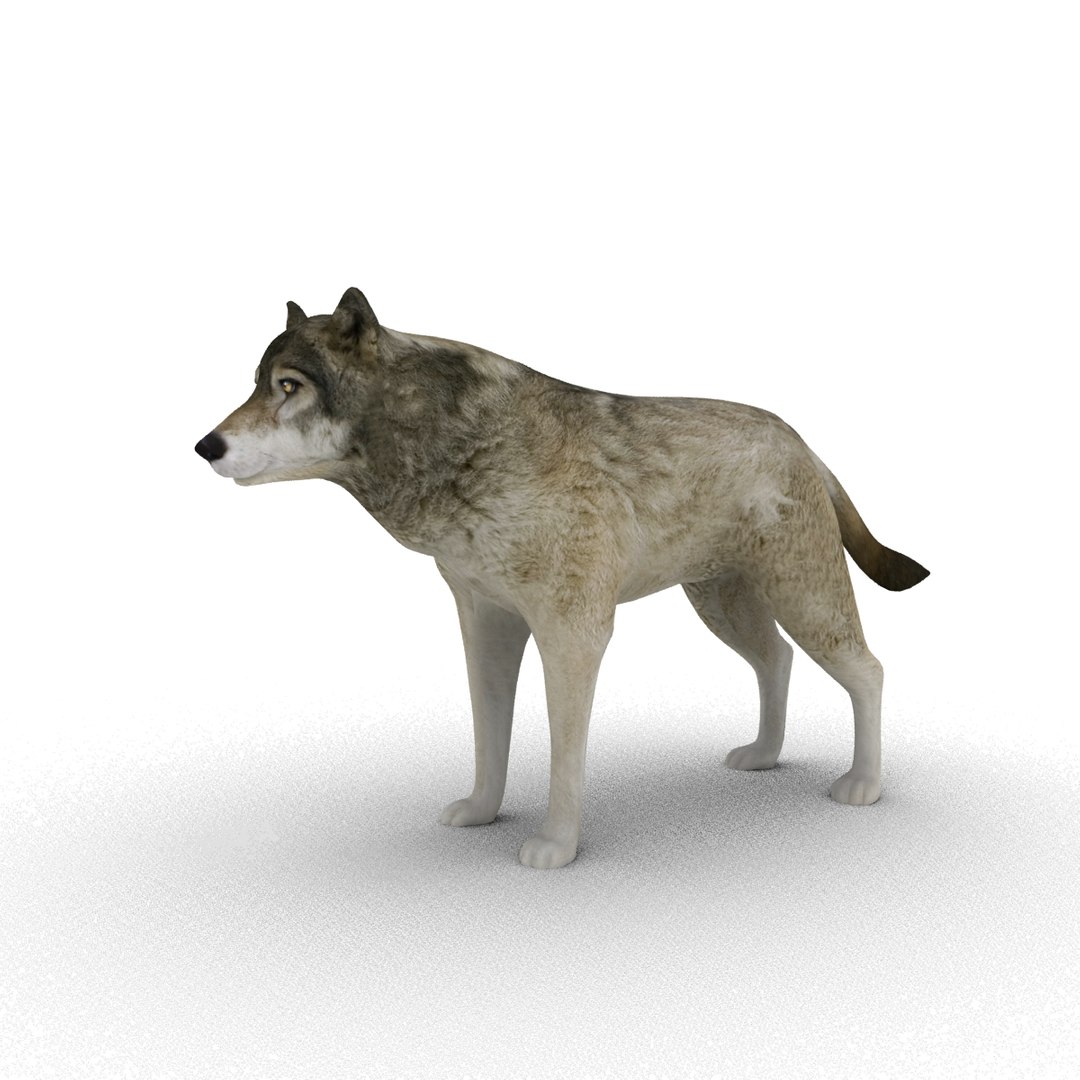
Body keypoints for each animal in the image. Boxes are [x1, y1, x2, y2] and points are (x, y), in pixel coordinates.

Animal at [195, 289, 928, 869]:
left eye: (290, 385)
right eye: (257, 383)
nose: (205, 446)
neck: (457, 446)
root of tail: (799, 438)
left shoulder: (573, 634)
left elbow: (562, 756)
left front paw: (556, 847)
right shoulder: (486, 625)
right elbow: (489, 737)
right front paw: (482, 811)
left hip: (803, 598)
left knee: (868, 670)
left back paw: (863, 784)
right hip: (723, 605)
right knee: (776, 660)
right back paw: (765, 755)